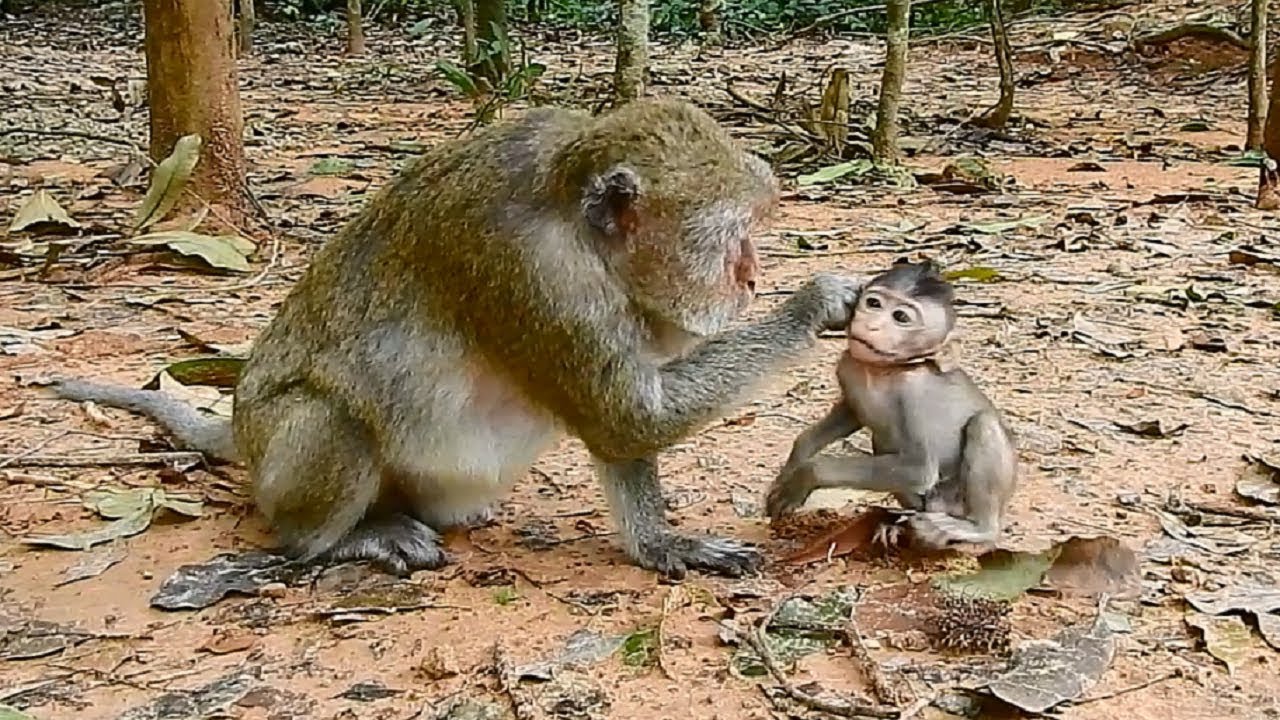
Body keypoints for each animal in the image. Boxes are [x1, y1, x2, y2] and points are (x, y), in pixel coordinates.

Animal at [50, 98, 865, 579]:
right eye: (735, 238)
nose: (752, 279)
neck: (576, 217)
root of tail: (244, 435)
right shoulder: (531, 272)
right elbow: (623, 416)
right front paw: (817, 303)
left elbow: (623, 424)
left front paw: (661, 544)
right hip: (280, 458)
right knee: (331, 420)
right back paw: (332, 540)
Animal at [764, 261, 1018, 550]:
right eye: (874, 303)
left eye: (901, 318)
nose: (872, 325)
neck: (882, 371)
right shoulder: (848, 367)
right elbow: (849, 414)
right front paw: (796, 459)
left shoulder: (915, 394)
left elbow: (919, 469)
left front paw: (803, 476)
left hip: (958, 499)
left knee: (983, 424)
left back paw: (977, 529)